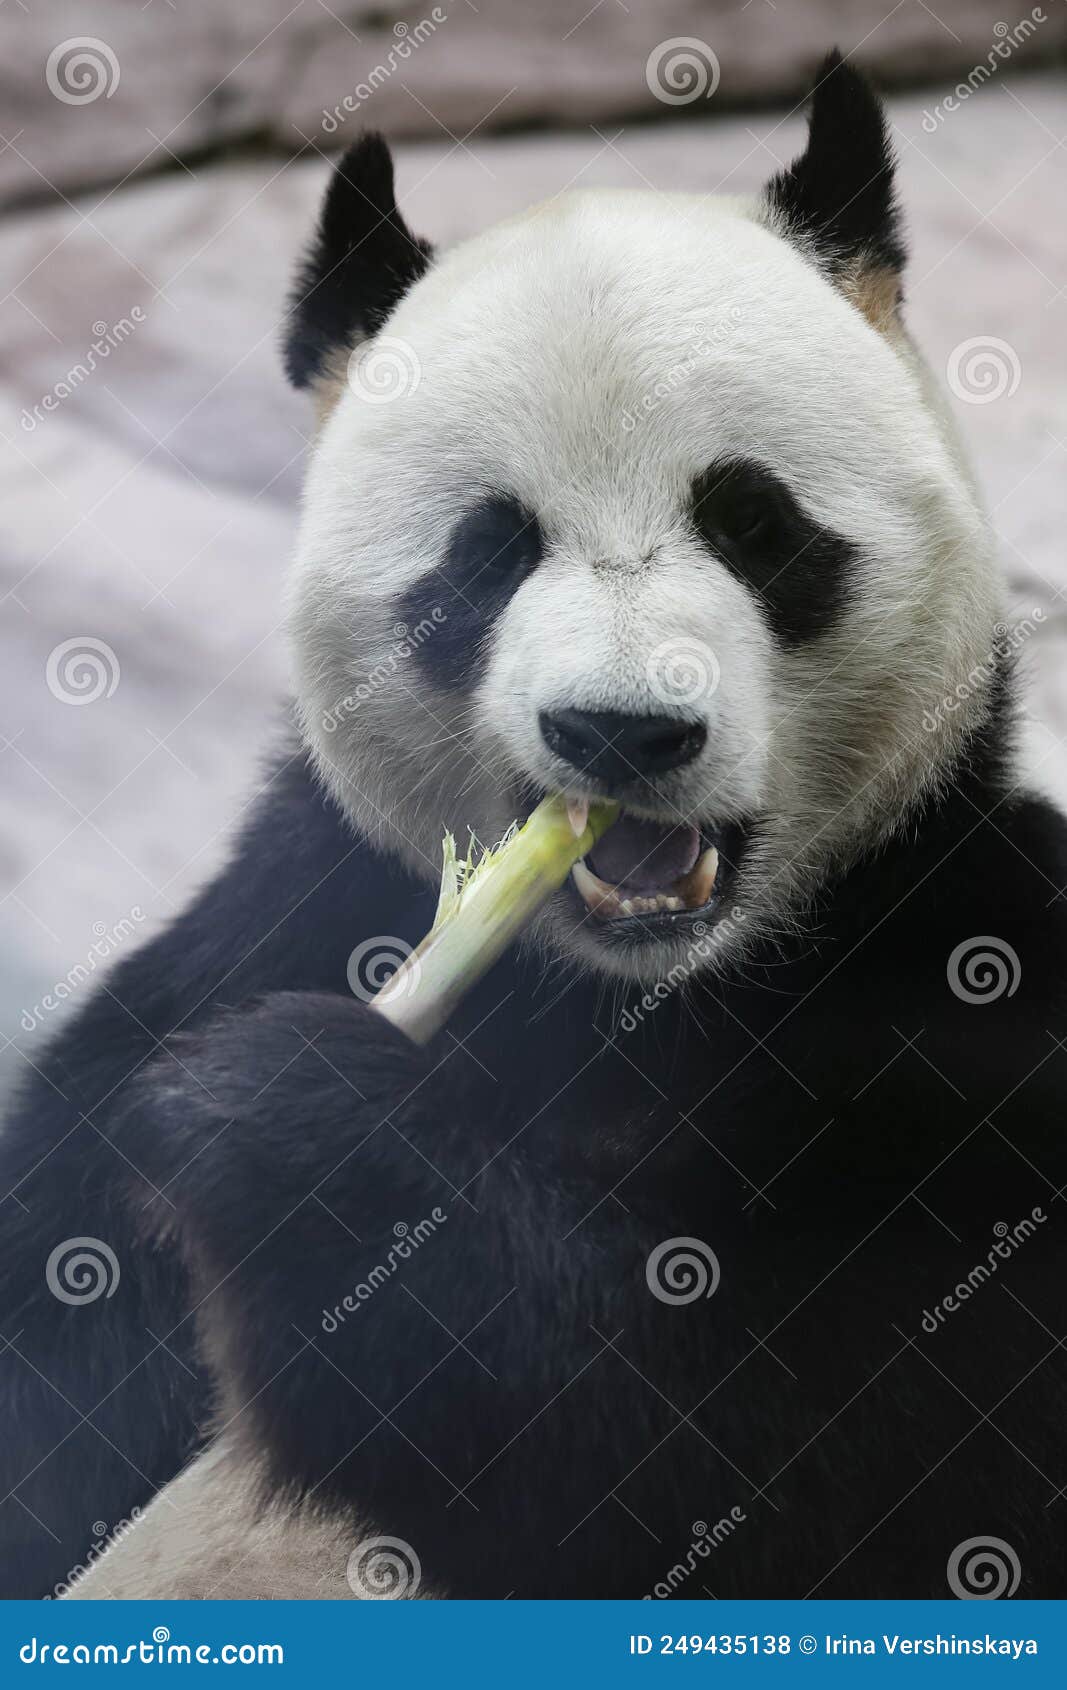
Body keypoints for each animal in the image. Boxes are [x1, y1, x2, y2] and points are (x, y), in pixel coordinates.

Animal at [2, 50, 1065, 1602]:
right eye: (487, 552)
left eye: (752, 523)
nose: (623, 730)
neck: (628, 989)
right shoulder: (288, 907)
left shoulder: (964, 960)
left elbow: (866, 1447)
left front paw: (293, 1129)